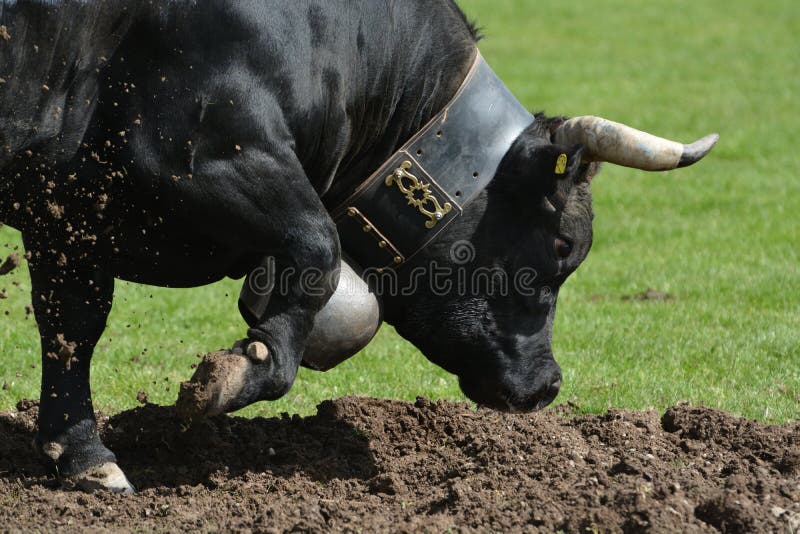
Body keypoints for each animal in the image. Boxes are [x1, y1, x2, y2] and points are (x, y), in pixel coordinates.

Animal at [0, 0, 717, 493]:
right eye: (564, 243)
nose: (548, 385)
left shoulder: (69, 206)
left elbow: (73, 327)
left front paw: (82, 454)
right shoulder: (198, 155)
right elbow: (317, 249)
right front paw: (240, 371)